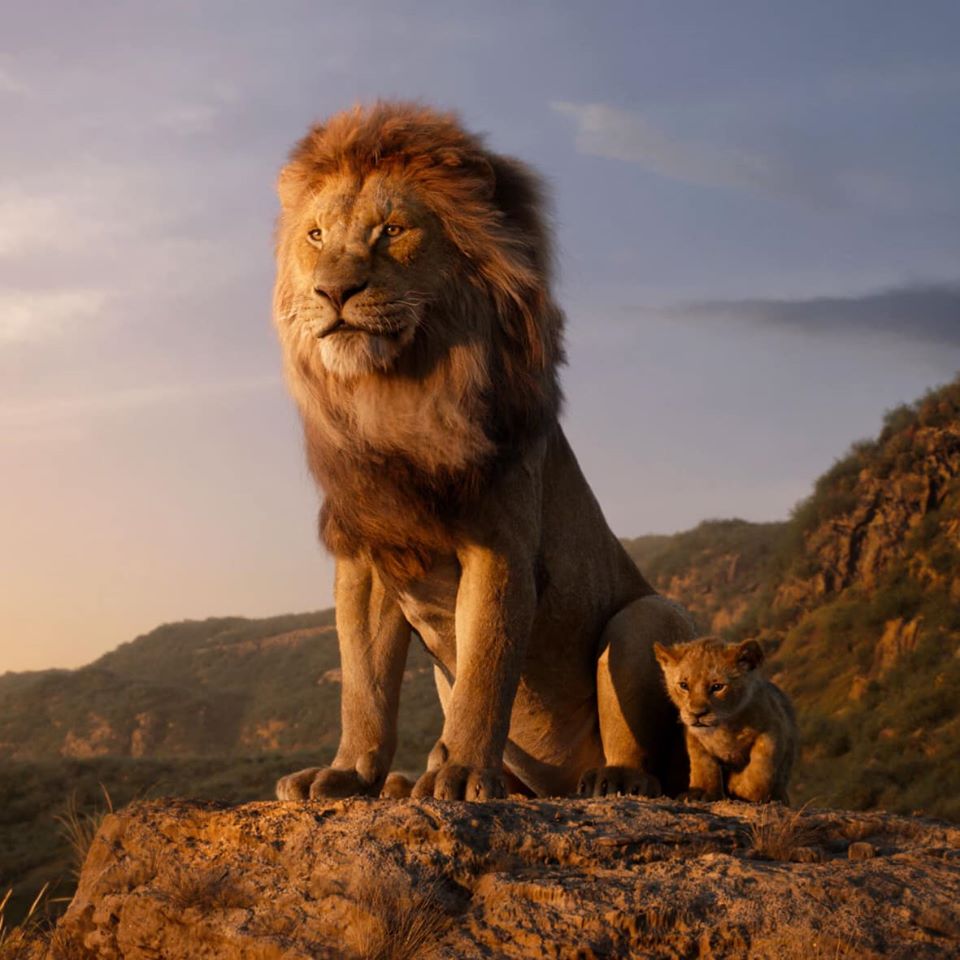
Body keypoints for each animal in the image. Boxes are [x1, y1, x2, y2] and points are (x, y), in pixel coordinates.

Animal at [271, 102, 695, 802]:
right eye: (315, 236)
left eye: (392, 230)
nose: (334, 292)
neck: (396, 397)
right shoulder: (367, 555)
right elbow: (364, 686)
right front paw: (348, 773)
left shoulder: (500, 546)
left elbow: (486, 671)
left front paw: (463, 773)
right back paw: (406, 783)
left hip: (647, 617)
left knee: (651, 759)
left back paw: (610, 779)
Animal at [653, 637, 797, 803]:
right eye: (684, 685)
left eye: (717, 687)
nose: (697, 714)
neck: (724, 728)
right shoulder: (694, 738)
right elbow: (703, 764)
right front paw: (701, 792)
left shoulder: (773, 728)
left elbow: (761, 767)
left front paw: (739, 787)